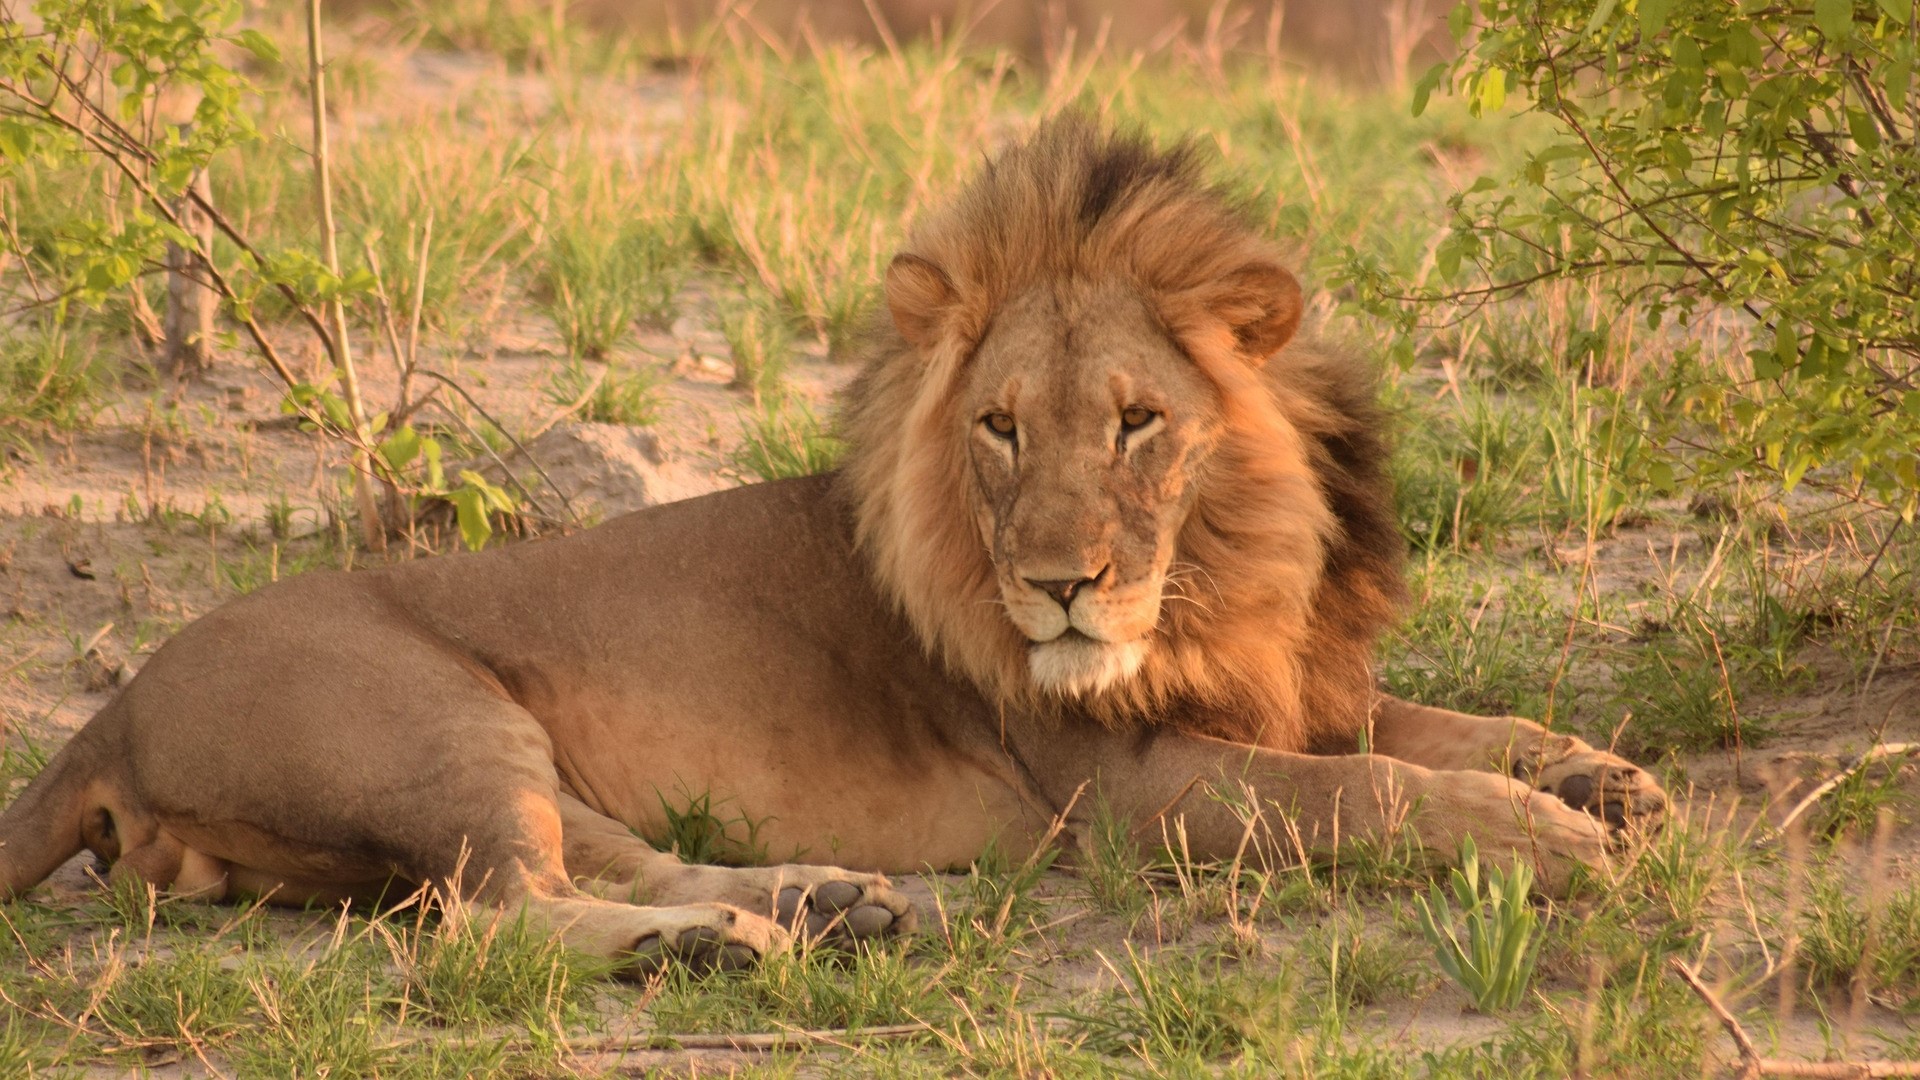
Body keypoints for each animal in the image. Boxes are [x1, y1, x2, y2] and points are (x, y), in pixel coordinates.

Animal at [0, 118, 1666, 974]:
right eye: (999, 428)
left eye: (1137, 422)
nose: (1059, 589)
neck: (1227, 570)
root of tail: (111, 709)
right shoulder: (1125, 788)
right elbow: (1370, 788)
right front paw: (1547, 842)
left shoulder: (1295, 689)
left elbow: (1438, 723)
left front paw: (1604, 779)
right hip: (427, 721)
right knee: (491, 921)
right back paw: (711, 953)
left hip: (496, 752)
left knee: (595, 860)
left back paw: (825, 905)